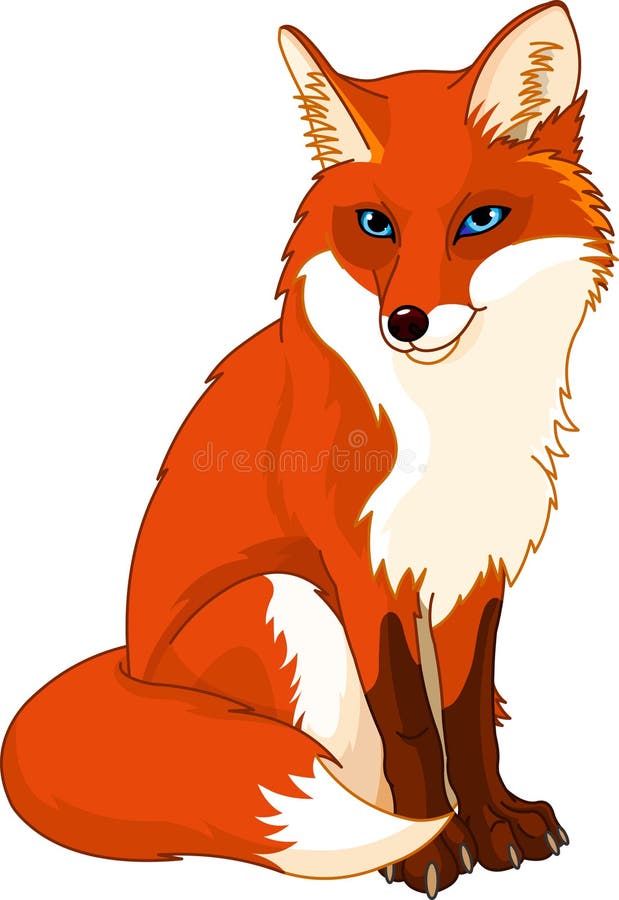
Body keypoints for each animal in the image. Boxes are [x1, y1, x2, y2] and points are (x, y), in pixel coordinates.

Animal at [1, 2, 613, 897]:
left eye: (479, 221)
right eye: (375, 226)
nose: (405, 322)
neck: (447, 422)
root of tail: (128, 667)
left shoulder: (472, 569)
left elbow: (465, 720)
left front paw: (495, 821)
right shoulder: (362, 570)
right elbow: (409, 729)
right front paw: (433, 846)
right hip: (284, 598)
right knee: (337, 768)